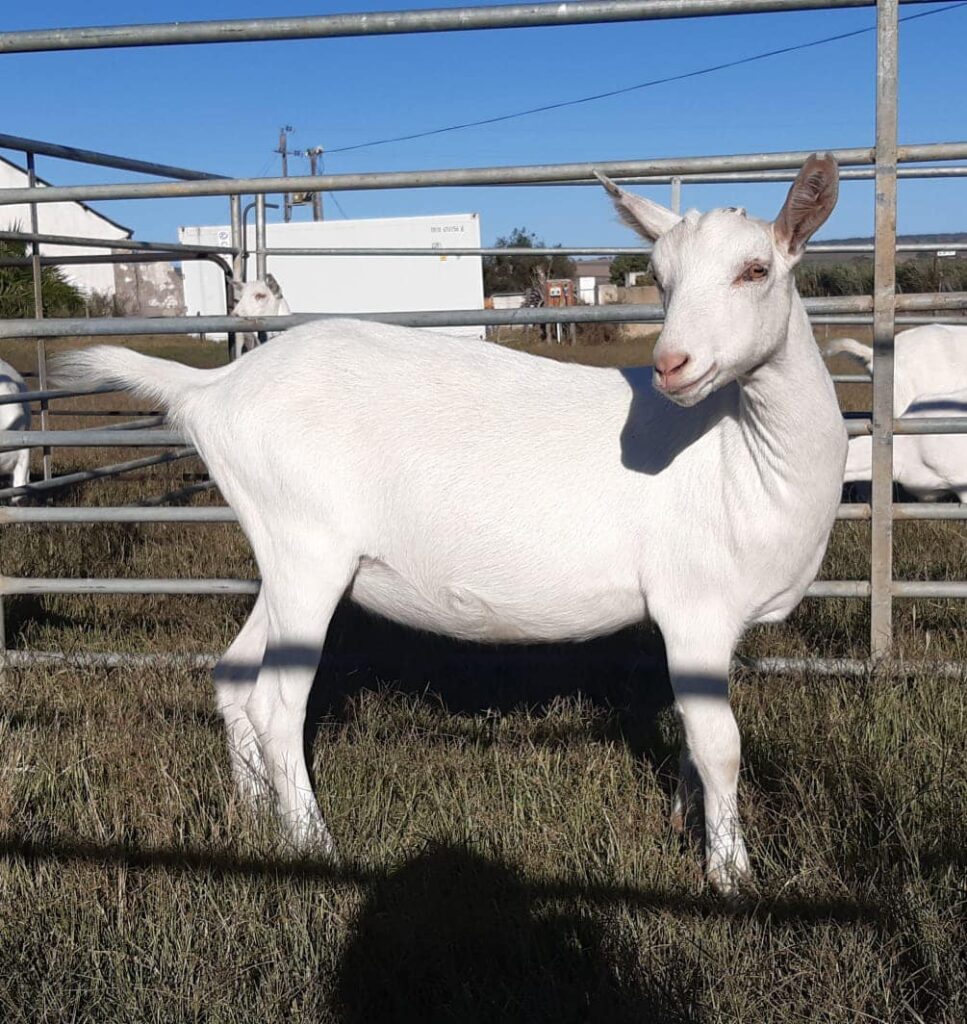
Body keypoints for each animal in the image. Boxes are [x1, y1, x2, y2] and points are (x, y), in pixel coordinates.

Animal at [52, 154, 846, 893]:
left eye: (755, 269)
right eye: (659, 276)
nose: (672, 364)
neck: (736, 454)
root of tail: (212, 390)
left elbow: (690, 734)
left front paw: (684, 820)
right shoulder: (695, 607)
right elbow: (720, 746)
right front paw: (732, 877)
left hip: (284, 558)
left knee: (233, 675)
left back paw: (255, 815)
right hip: (307, 549)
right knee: (275, 702)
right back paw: (313, 844)